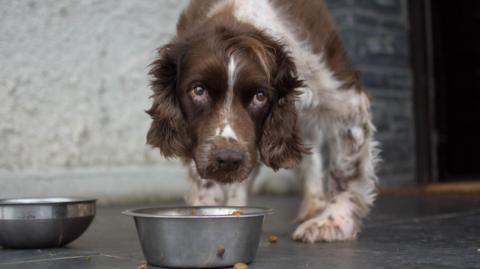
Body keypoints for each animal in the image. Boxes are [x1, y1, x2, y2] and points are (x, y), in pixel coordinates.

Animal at [145, 0, 378, 242]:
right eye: (198, 90)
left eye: (260, 96)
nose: (229, 159)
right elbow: (206, 178)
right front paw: (206, 209)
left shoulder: (345, 98)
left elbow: (346, 170)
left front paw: (333, 221)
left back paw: (314, 206)